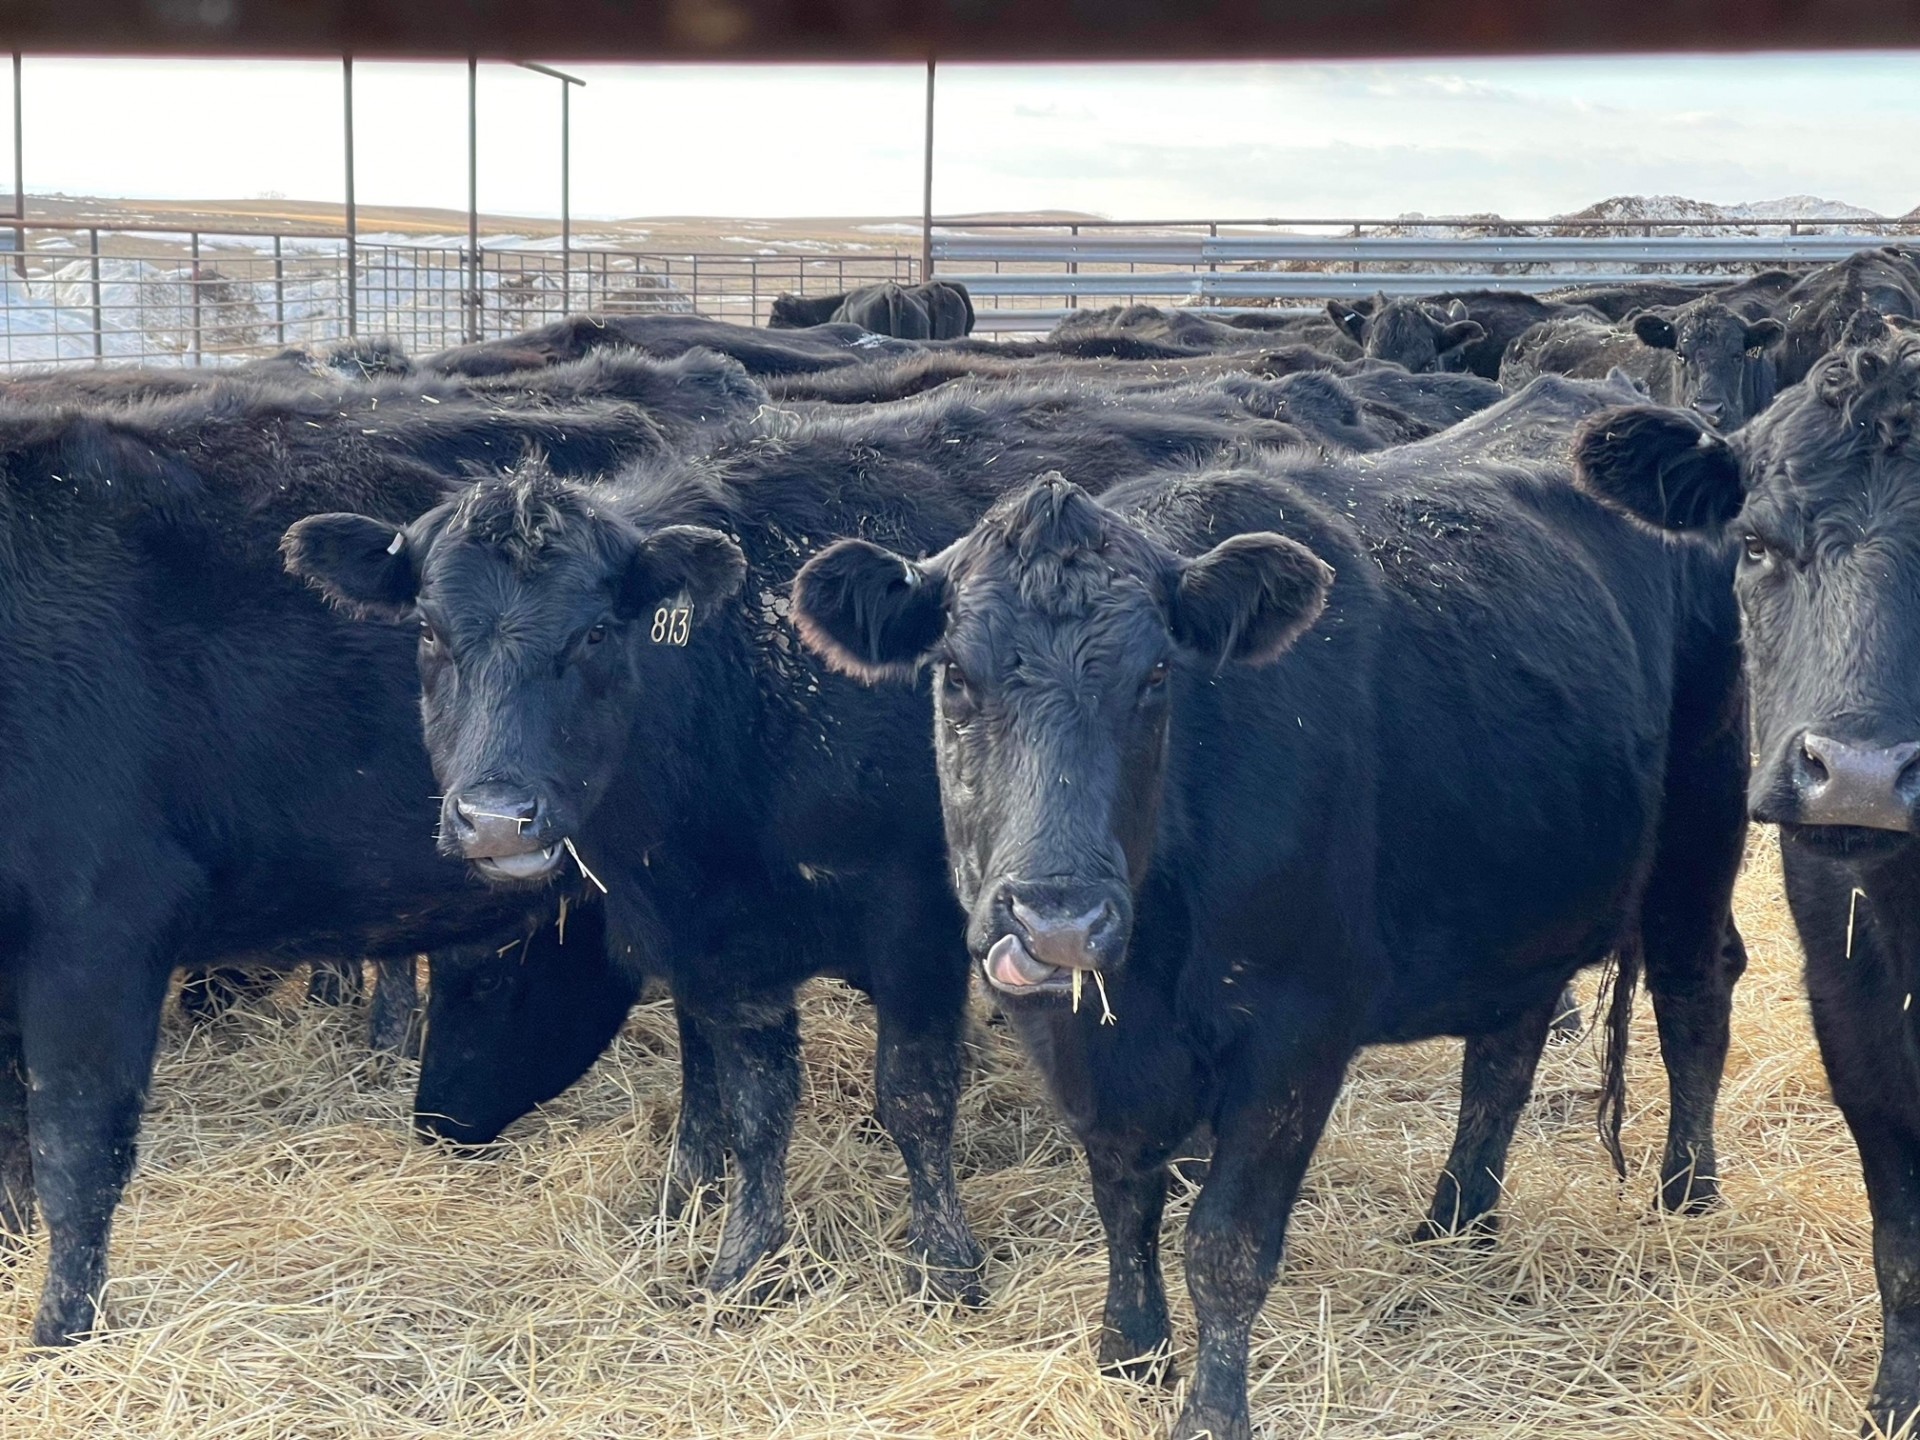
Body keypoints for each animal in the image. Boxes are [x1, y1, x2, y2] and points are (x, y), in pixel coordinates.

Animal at [791, 427, 1748, 1439]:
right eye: (955, 673)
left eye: (1157, 675)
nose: (1060, 918)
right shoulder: (1080, 1040)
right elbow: (1122, 1197)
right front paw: (1129, 1355)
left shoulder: (1298, 1030)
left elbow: (1226, 1243)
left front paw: (1211, 1413)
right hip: (1521, 908)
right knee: (1506, 1048)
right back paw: (1457, 1221)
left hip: (1700, 828)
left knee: (1696, 991)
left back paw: (1688, 1195)